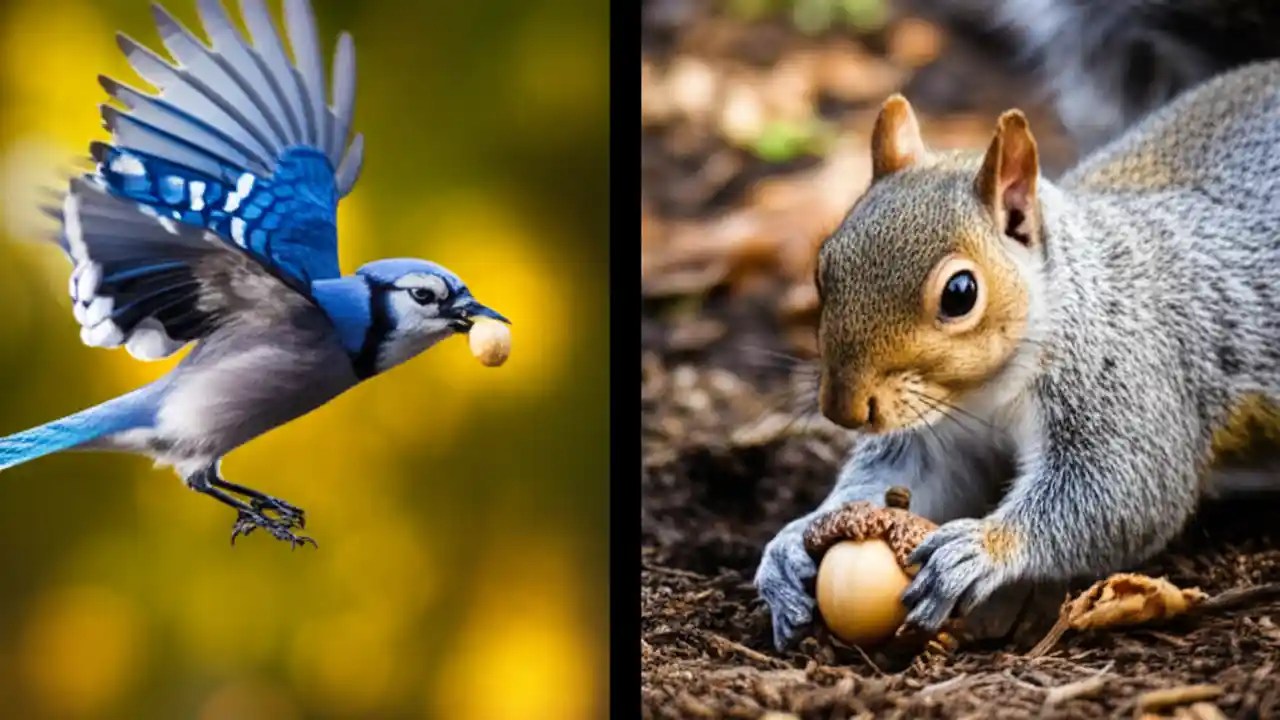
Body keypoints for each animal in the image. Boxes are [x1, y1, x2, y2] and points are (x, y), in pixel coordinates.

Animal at [755, 60, 1280, 651]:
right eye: (823, 267)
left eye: (960, 293)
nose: (843, 410)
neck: (985, 394)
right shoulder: (941, 437)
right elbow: (910, 477)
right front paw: (795, 539)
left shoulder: (1129, 378)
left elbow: (1122, 490)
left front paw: (980, 547)